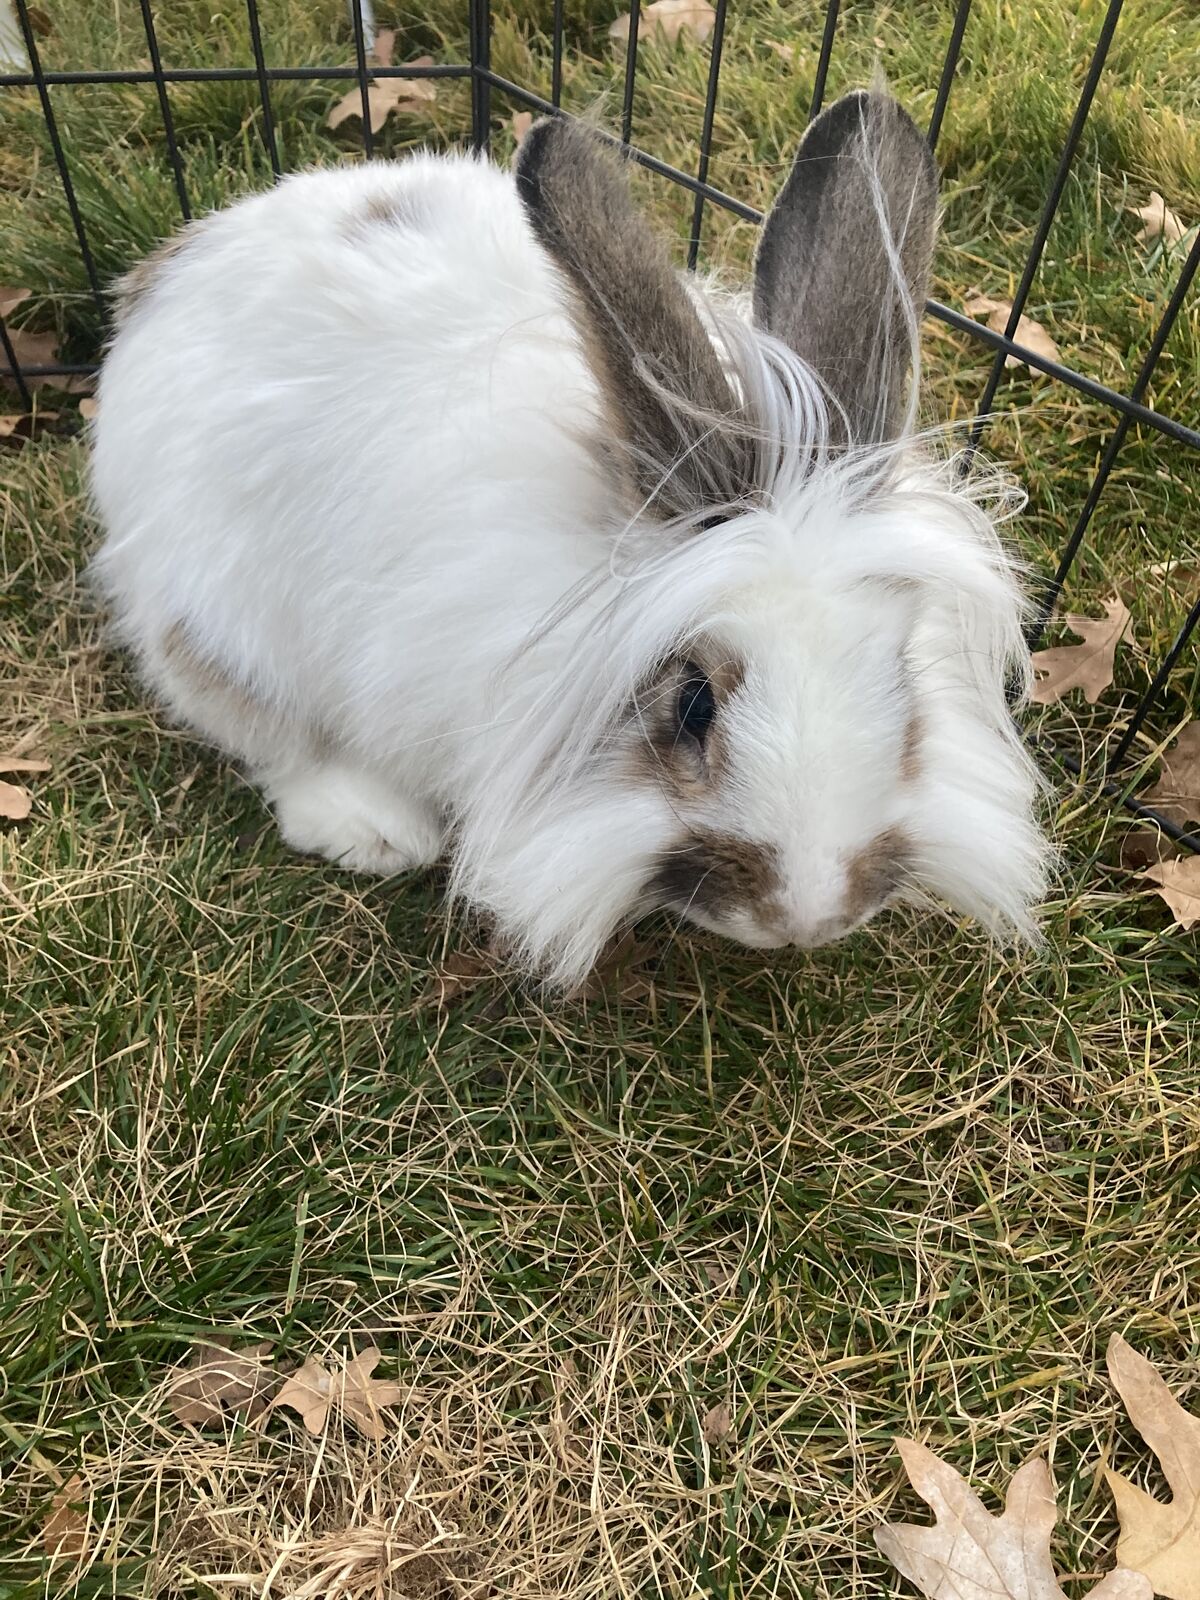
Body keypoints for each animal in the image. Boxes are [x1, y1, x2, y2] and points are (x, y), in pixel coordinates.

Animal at [90, 90, 1050, 987]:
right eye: (691, 705)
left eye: (902, 681)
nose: (807, 917)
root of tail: (174, 268)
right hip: (212, 615)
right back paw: (374, 829)